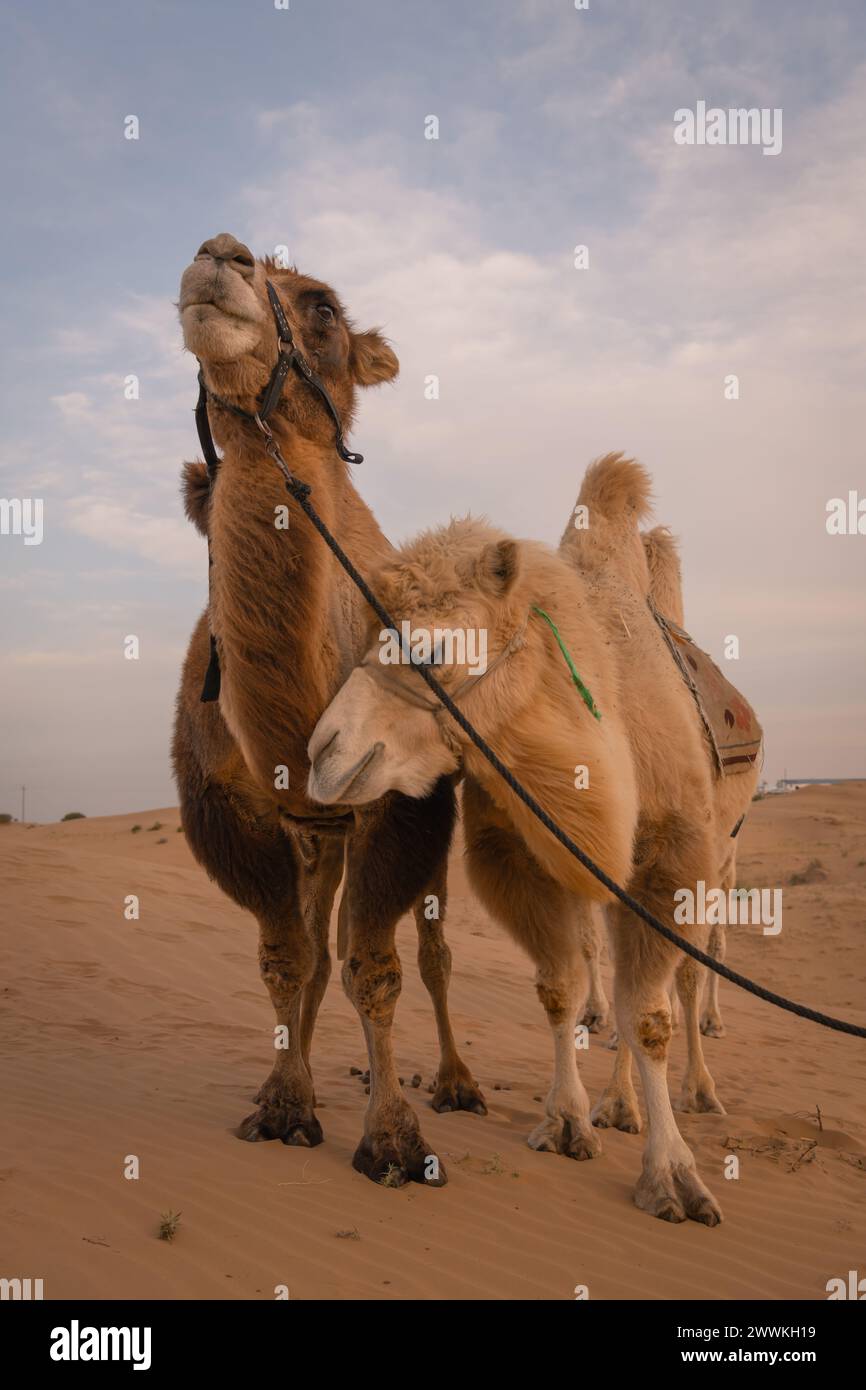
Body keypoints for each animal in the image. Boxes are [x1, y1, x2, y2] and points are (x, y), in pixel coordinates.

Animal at [172, 233, 485, 1180]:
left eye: (323, 307)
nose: (218, 253)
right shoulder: (230, 807)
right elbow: (288, 960)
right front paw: (283, 1104)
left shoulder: (406, 803)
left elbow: (373, 966)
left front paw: (394, 1139)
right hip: (318, 832)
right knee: (314, 948)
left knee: (433, 952)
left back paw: (456, 1082)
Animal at [307, 455, 759, 1223]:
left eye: (433, 648)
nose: (321, 753)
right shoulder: (528, 853)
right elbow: (560, 988)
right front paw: (567, 1120)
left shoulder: (673, 860)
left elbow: (650, 1016)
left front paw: (672, 1177)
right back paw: (617, 1104)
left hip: (722, 857)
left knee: (692, 974)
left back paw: (694, 1091)